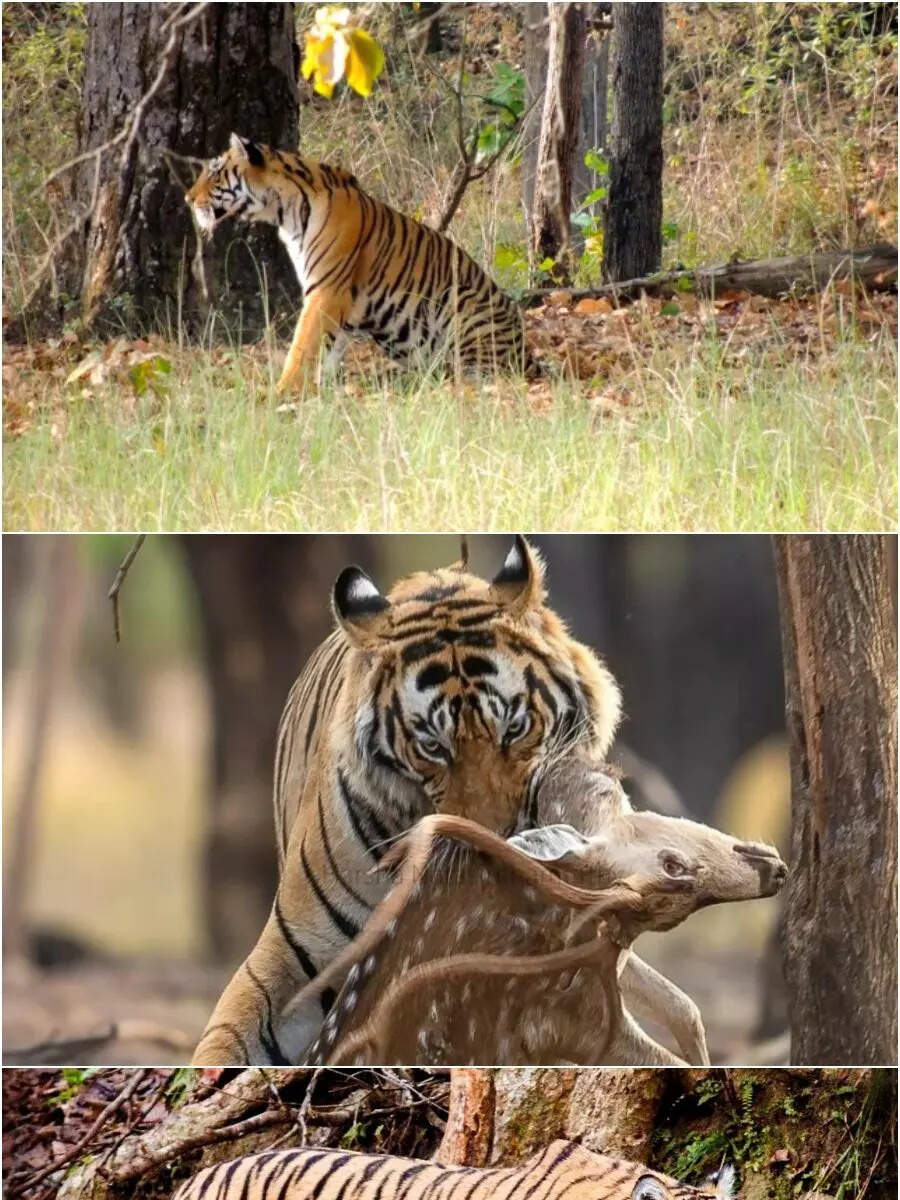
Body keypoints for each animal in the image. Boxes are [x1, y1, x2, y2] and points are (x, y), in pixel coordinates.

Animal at [185, 133, 530, 393]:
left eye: (214, 173)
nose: (188, 199)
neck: (283, 212)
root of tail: (523, 347)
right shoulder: (340, 301)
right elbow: (329, 348)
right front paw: (322, 390)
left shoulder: (326, 289)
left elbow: (302, 344)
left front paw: (284, 390)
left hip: (461, 303)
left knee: (479, 372)